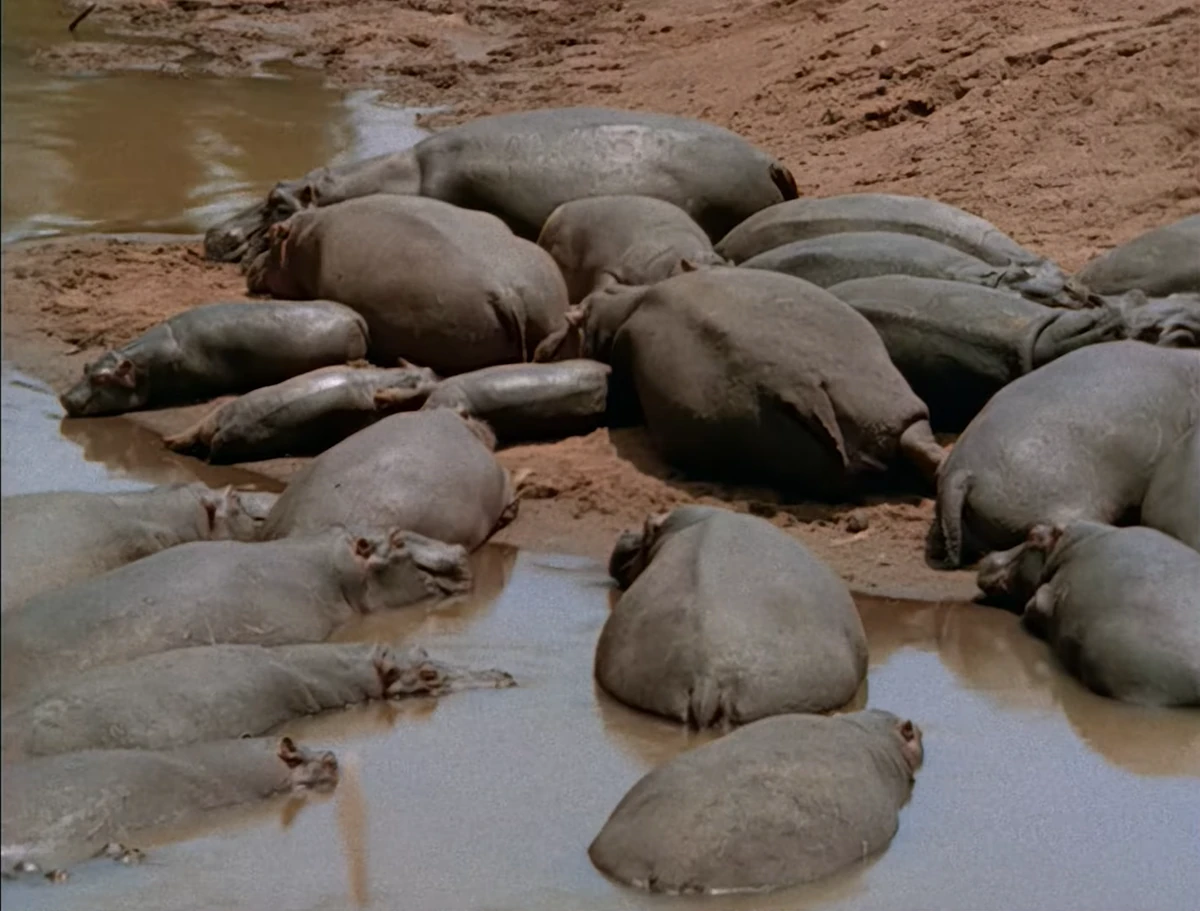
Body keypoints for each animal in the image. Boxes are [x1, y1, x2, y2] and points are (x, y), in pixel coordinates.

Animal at [164, 363, 439, 463]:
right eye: (418, 389)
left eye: (425, 370)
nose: (435, 375)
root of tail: (219, 426)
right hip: (232, 439)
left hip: (222, 414)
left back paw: (171, 442)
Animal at [537, 267, 945, 494]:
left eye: (573, 315)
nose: (540, 349)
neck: (620, 306)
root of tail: (809, 388)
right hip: (885, 397)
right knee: (918, 439)